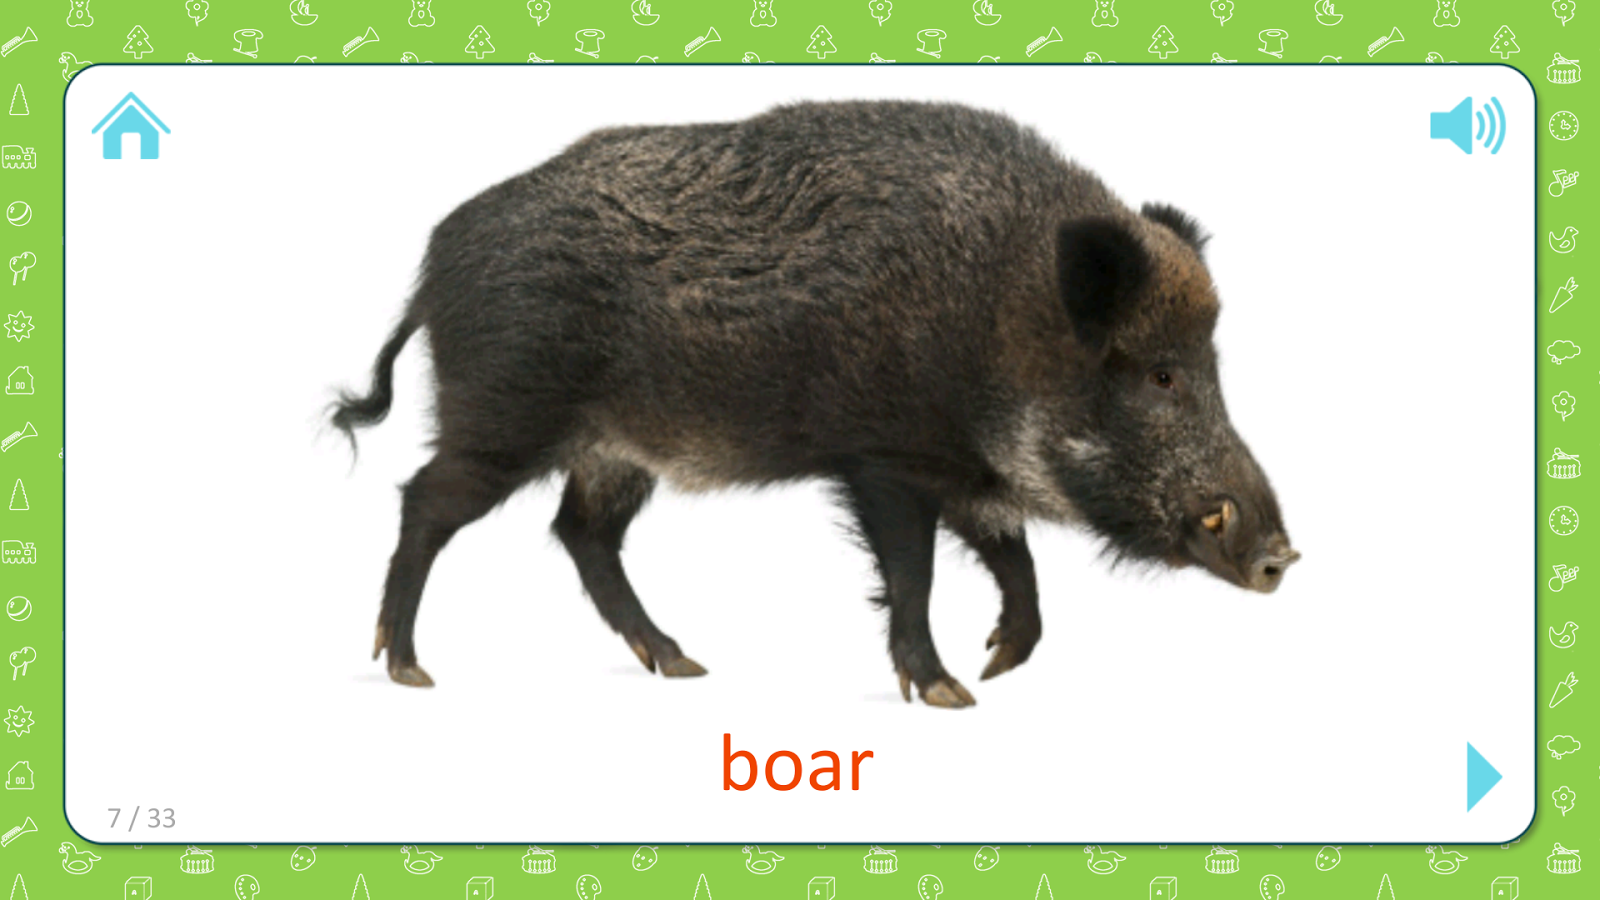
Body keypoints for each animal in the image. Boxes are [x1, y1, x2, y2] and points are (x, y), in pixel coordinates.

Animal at [329, 100, 1299, 708]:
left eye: (1209, 365)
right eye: (1162, 376)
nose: (1282, 555)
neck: (997, 311)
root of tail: (432, 272)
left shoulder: (961, 469)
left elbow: (1012, 554)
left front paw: (1000, 665)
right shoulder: (883, 458)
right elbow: (915, 572)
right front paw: (949, 693)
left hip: (614, 451)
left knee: (582, 533)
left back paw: (684, 664)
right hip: (505, 413)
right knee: (427, 500)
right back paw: (410, 671)